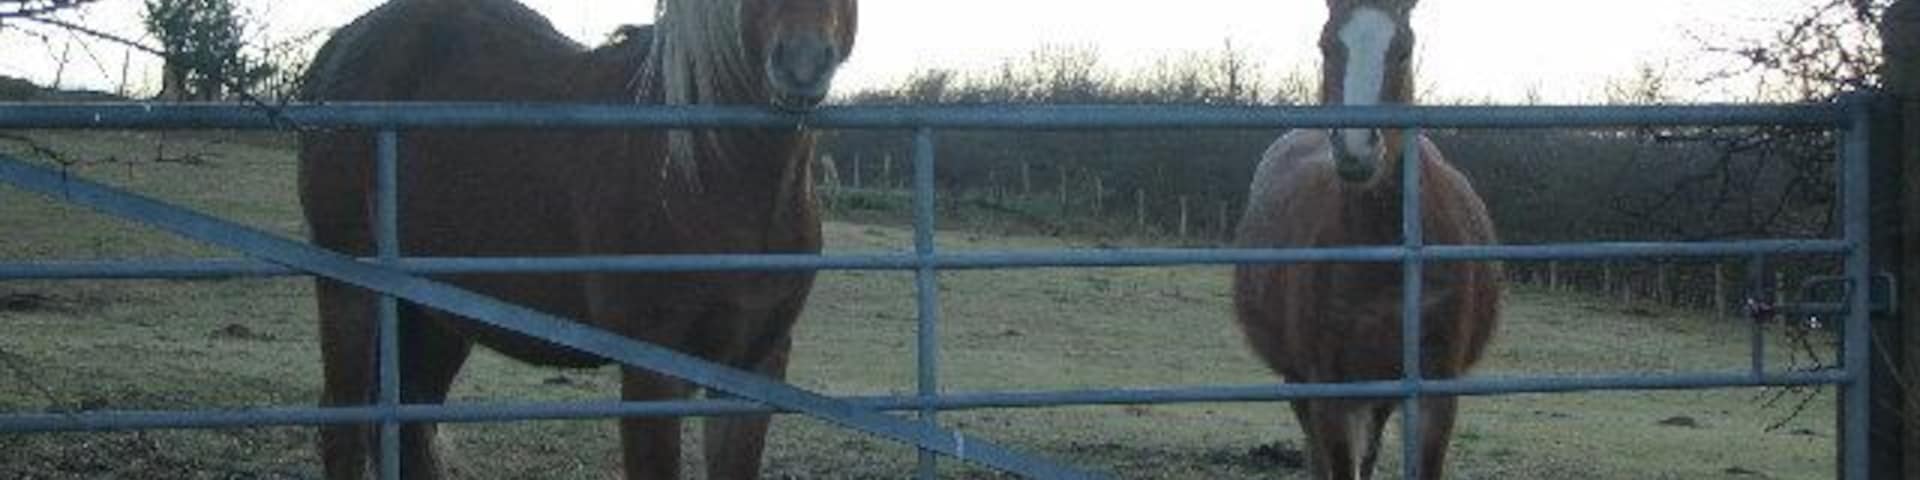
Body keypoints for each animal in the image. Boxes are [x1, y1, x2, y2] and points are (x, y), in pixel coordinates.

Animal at [295, 0, 857, 478]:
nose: (802, 63)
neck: (705, 165)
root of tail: (338, 46)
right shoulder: (652, 369)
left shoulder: (754, 365)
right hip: (350, 291)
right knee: (344, 424)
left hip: (435, 311)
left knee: (410, 421)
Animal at [1231, 0, 1500, 478]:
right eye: (1326, 45)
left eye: (1404, 49)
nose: (1357, 150)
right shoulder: (1332, 394)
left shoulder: (1434, 394)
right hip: (1303, 383)